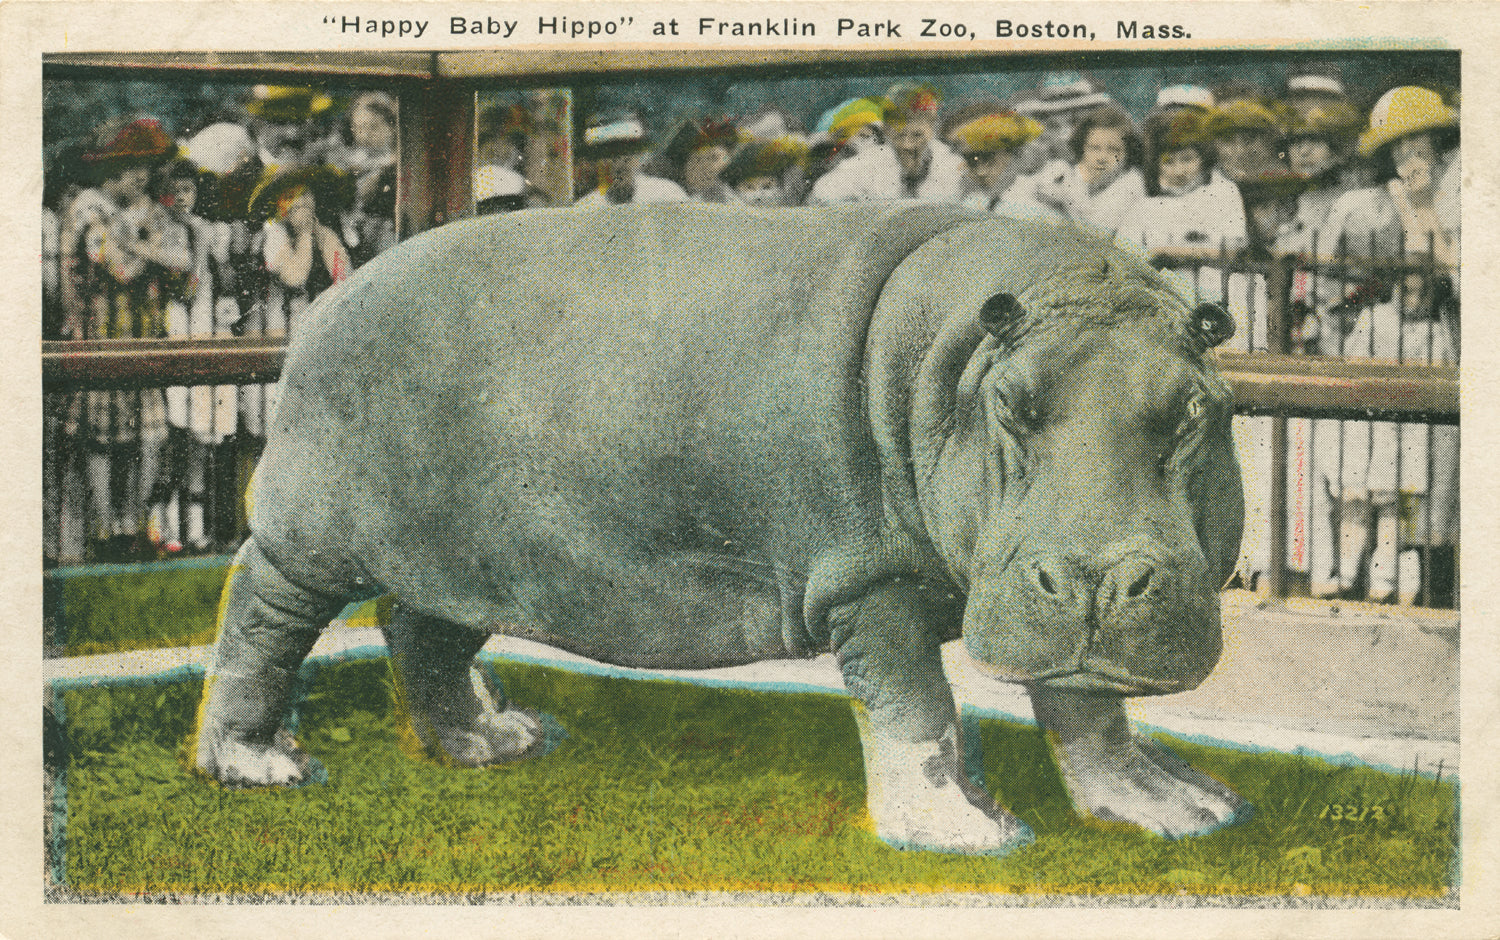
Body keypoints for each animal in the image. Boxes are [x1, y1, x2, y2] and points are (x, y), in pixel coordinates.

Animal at [194, 202, 1246, 855]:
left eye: (1199, 406)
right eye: (1014, 407)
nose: (1101, 578)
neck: (959, 363)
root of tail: (325, 301)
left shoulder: (1051, 601)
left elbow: (1088, 709)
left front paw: (1181, 808)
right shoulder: (868, 580)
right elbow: (917, 711)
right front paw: (966, 835)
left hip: (469, 548)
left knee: (423, 629)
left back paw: (497, 742)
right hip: (308, 532)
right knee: (259, 616)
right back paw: (260, 766)